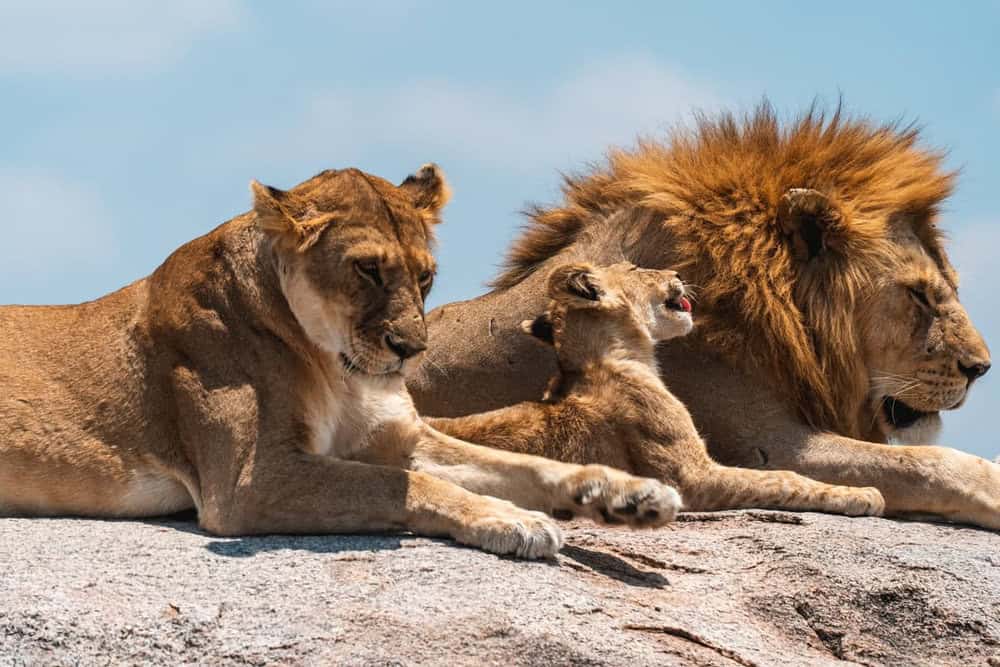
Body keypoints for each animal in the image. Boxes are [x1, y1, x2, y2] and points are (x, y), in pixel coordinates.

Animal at [0, 164, 681, 559]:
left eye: (425, 276)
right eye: (368, 269)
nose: (413, 350)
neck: (336, 366)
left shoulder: (401, 437)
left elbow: (524, 464)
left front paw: (630, 495)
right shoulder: (248, 484)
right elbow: (403, 485)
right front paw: (508, 519)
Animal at [430, 261, 885, 517]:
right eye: (635, 269)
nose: (679, 274)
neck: (620, 357)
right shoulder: (689, 478)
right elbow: (784, 479)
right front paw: (861, 495)